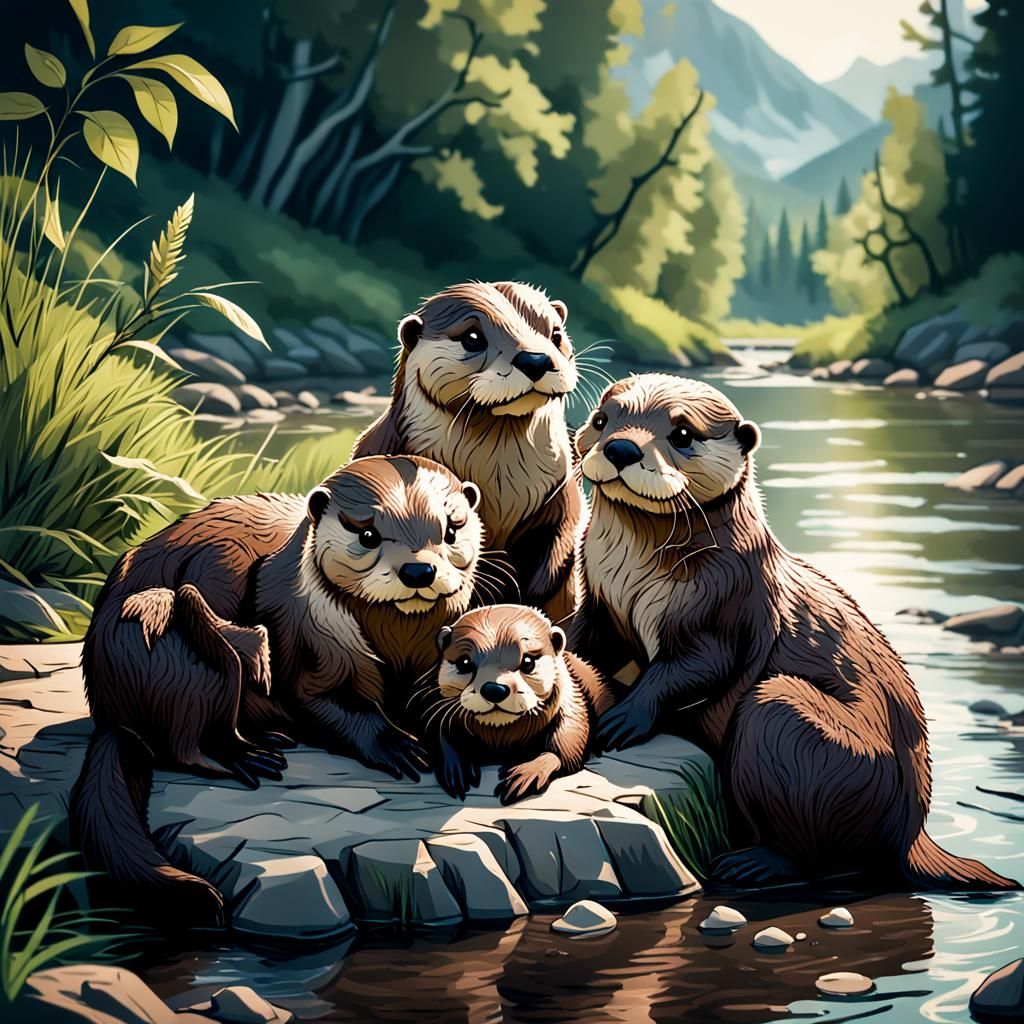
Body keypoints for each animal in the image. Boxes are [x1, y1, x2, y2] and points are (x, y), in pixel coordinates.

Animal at [72, 455, 483, 925]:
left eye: (451, 529)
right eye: (367, 534)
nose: (418, 570)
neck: (397, 644)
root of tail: (109, 709)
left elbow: (439, 702)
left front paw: (456, 753)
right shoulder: (306, 640)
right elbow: (322, 702)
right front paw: (394, 743)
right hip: (167, 647)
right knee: (185, 739)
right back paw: (249, 753)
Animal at [352, 281, 583, 622]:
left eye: (555, 334)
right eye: (472, 338)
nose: (536, 360)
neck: (501, 485)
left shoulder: (562, 491)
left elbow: (562, 539)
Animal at [422, 604, 611, 803]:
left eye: (528, 661)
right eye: (464, 662)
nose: (494, 689)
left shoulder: (572, 703)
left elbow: (570, 741)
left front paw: (529, 773)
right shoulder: (435, 707)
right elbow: (438, 732)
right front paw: (456, 769)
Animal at [572, 373, 1017, 891]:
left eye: (682, 434)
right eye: (602, 419)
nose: (621, 448)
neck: (634, 576)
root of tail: (913, 827)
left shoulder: (725, 599)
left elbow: (696, 666)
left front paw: (624, 718)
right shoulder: (599, 598)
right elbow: (582, 638)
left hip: (788, 724)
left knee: (813, 848)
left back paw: (753, 864)